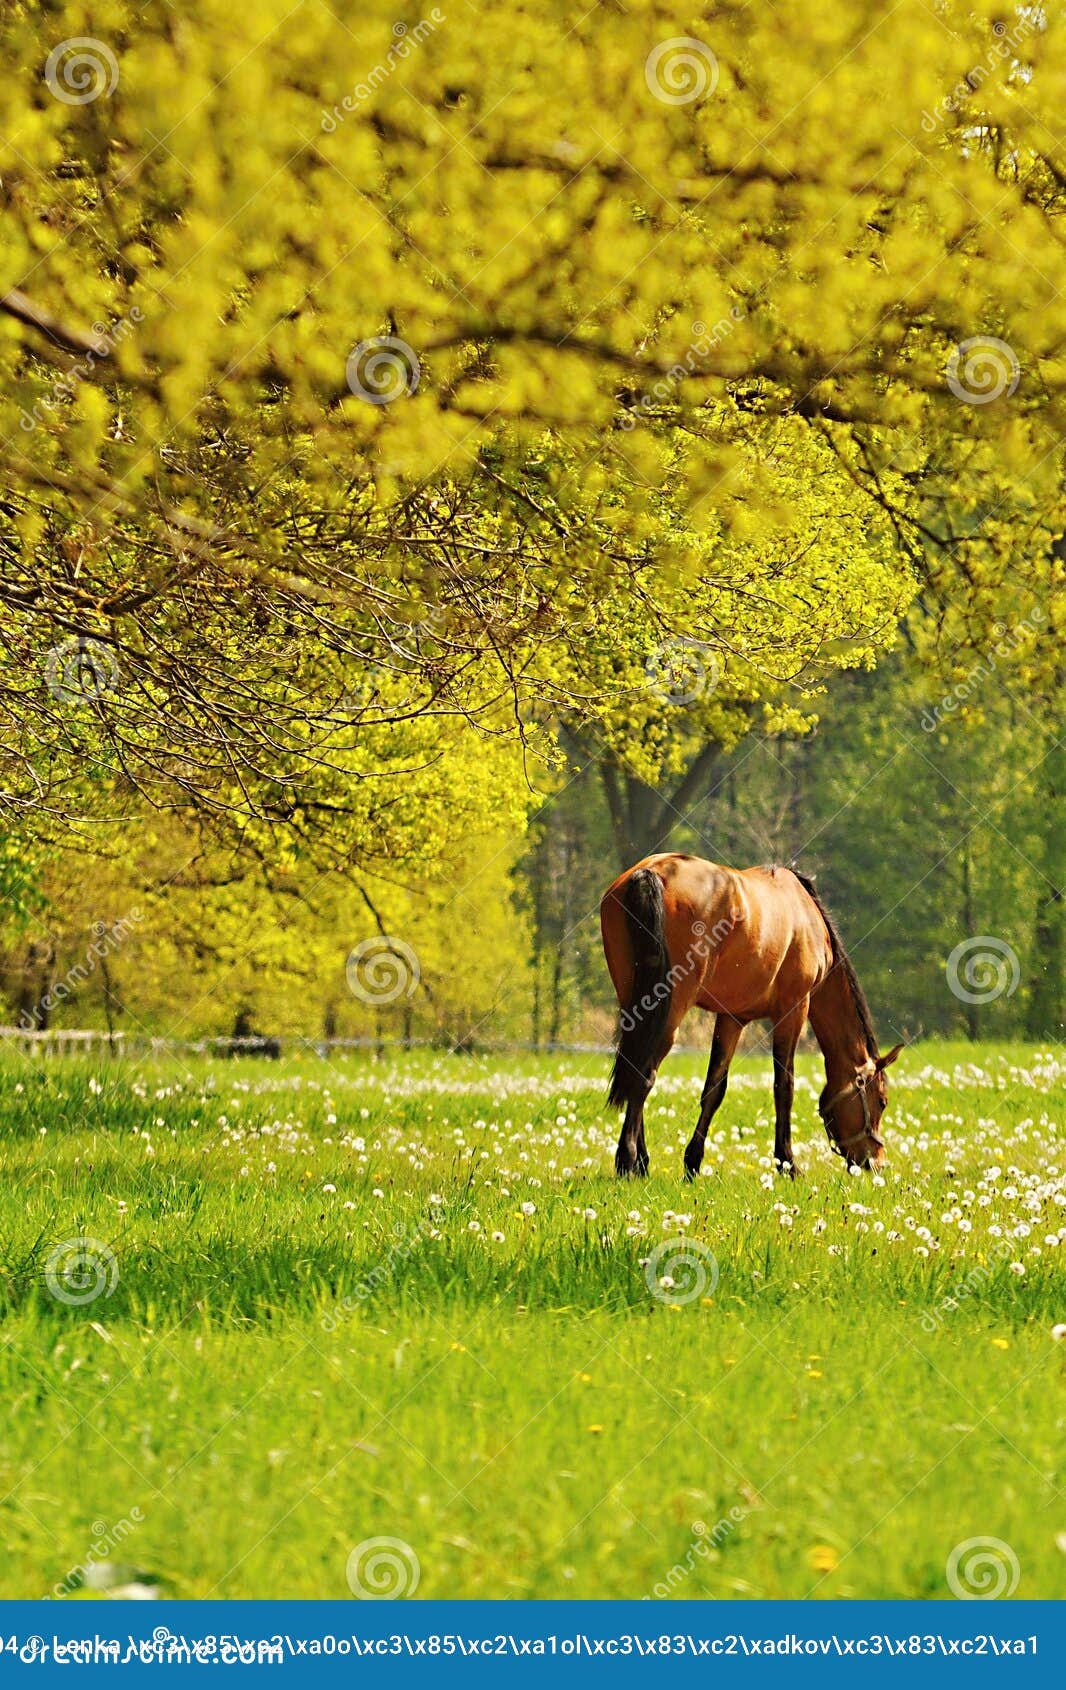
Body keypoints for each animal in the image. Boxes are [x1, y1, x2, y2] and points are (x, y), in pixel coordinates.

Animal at [600, 854, 902, 1179]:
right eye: (882, 1101)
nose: (876, 1162)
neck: (804, 911)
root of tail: (651, 872)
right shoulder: (793, 1011)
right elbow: (784, 1087)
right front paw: (787, 1163)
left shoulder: (732, 1018)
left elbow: (714, 1089)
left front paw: (693, 1162)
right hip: (672, 1009)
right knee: (644, 1074)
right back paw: (629, 1159)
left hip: (637, 1003)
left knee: (635, 1063)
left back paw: (641, 1161)